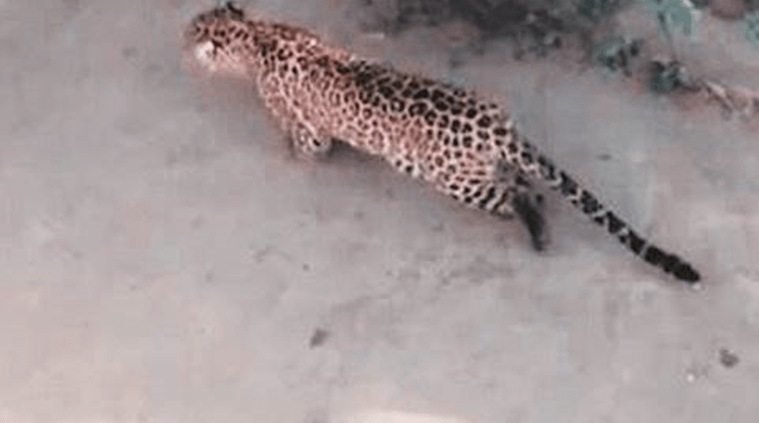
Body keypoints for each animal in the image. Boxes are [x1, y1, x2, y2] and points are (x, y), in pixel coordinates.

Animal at [183, 2, 701, 284]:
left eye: (190, 32)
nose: (181, 39)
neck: (254, 35)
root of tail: (496, 124)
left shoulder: (306, 128)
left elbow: (305, 144)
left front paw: (287, 152)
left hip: (452, 180)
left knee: (521, 194)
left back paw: (537, 233)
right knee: (521, 180)